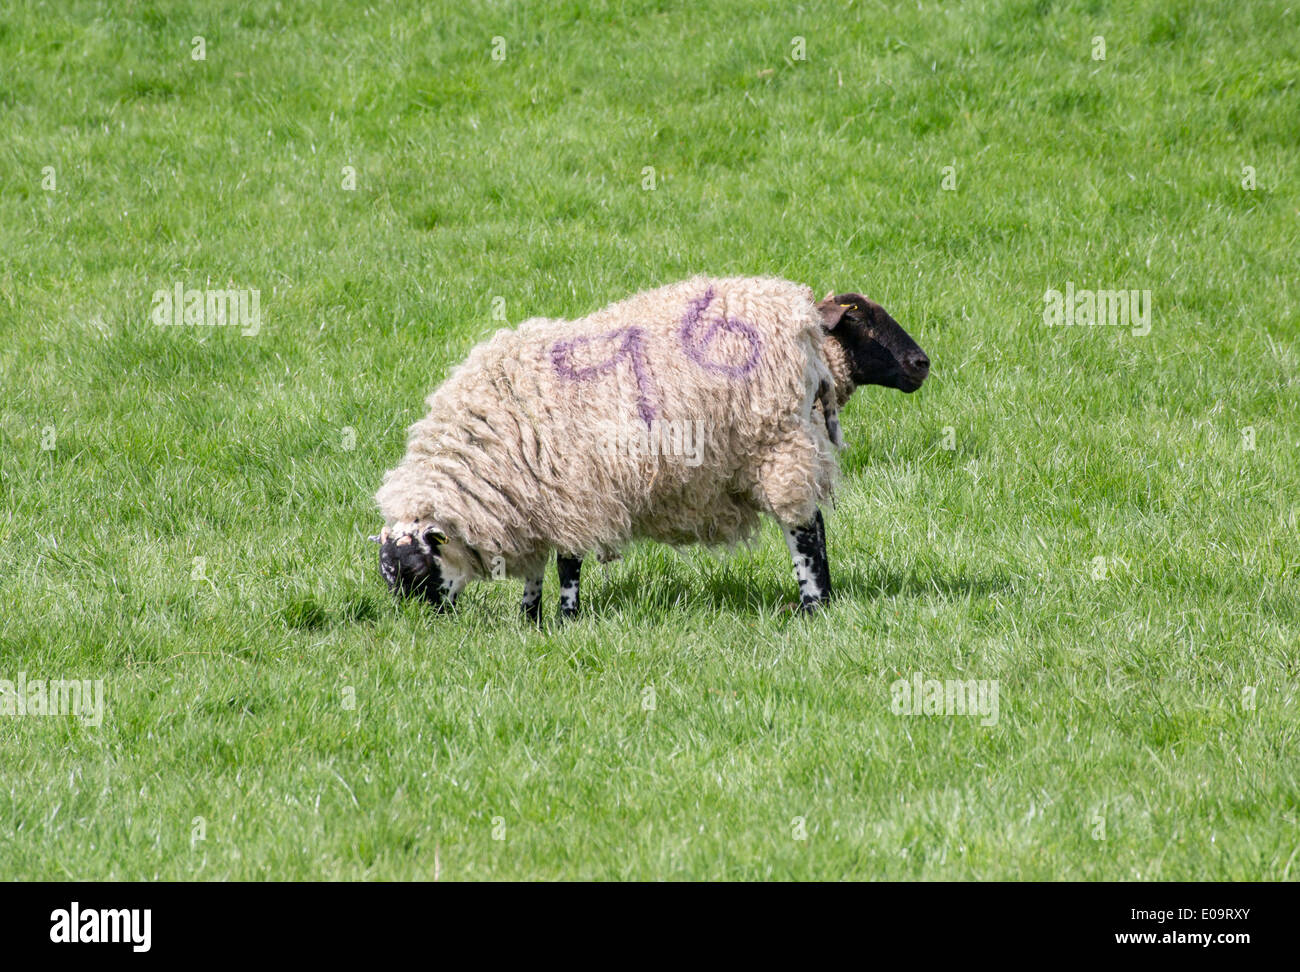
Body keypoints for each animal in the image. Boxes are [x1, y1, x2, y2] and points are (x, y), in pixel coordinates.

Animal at [372, 275, 929, 619]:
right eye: (394, 579)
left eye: (415, 571)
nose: (922, 363)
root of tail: (800, 316)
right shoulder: (539, 500)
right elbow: (537, 568)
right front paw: (529, 619)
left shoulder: (574, 491)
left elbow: (567, 564)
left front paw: (565, 619)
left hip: (777, 442)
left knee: (805, 527)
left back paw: (814, 605)